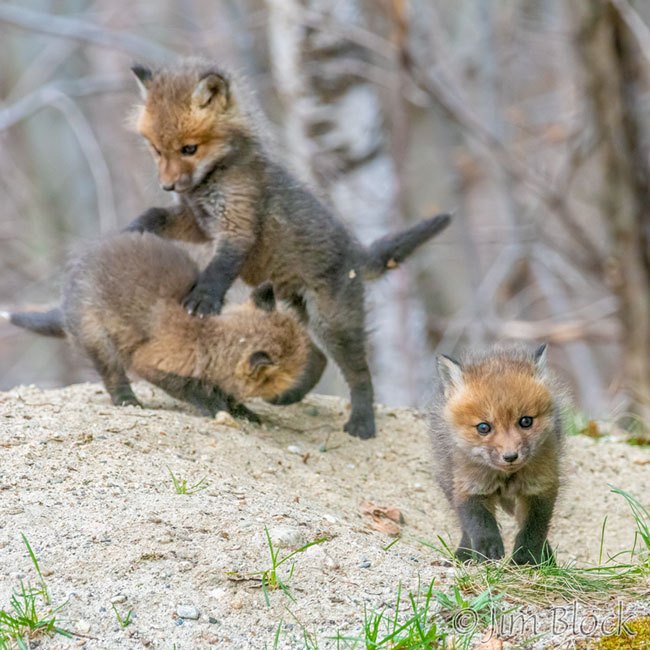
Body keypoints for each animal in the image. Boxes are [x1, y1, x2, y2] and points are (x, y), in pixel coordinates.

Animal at [3, 233, 310, 422]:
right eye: (289, 377)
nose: (293, 397)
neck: (203, 338)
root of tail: (65, 303)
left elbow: (225, 391)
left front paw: (245, 412)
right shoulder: (150, 361)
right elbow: (192, 388)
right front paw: (216, 408)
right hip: (98, 338)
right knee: (113, 375)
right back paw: (127, 401)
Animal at [124, 58, 452, 440]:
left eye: (189, 148)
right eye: (156, 150)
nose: (168, 185)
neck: (215, 177)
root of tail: (357, 255)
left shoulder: (237, 225)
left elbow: (219, 268)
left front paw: (203, 300)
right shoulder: (197, 223)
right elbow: (155, 215)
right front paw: (131, 231)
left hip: (331, 322)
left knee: (358, 372)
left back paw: (361, 422)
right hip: (296, 308)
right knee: (318, 357)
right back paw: (289, 395)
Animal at [430, 344, 566, 565]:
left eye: (526, 421)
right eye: (483, 427)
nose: (510, 456)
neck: (506, 477)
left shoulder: (540, 486)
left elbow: (533, 530)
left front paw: (527, 559)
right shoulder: (469, 486)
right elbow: (480, 524)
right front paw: (487, 552)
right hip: (448, 480)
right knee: (464, 526)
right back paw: (465, 554)